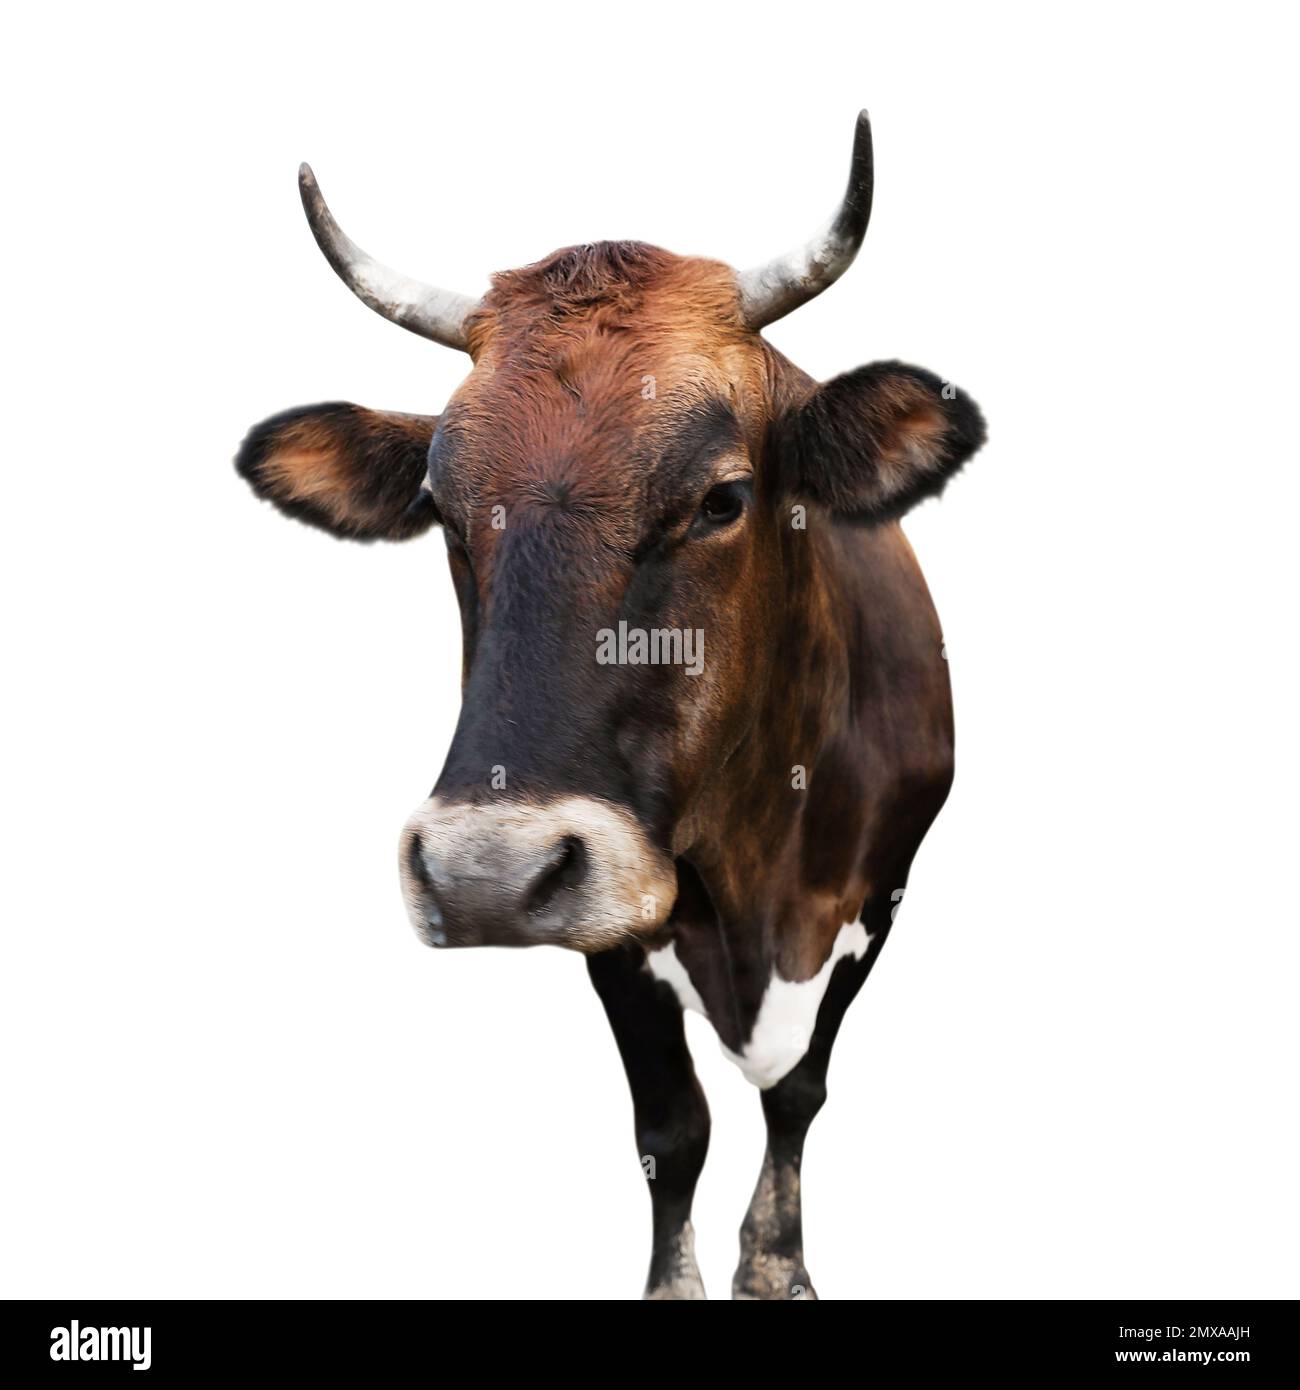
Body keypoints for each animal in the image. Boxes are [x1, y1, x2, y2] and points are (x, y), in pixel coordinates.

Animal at [235, 112, 986, 1300]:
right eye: (441, 507)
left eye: (724, 497)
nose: (482, 873)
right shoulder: (616, 919)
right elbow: (672, 1130)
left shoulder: (881, 896)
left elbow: (797, 1090)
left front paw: (775, 1263)